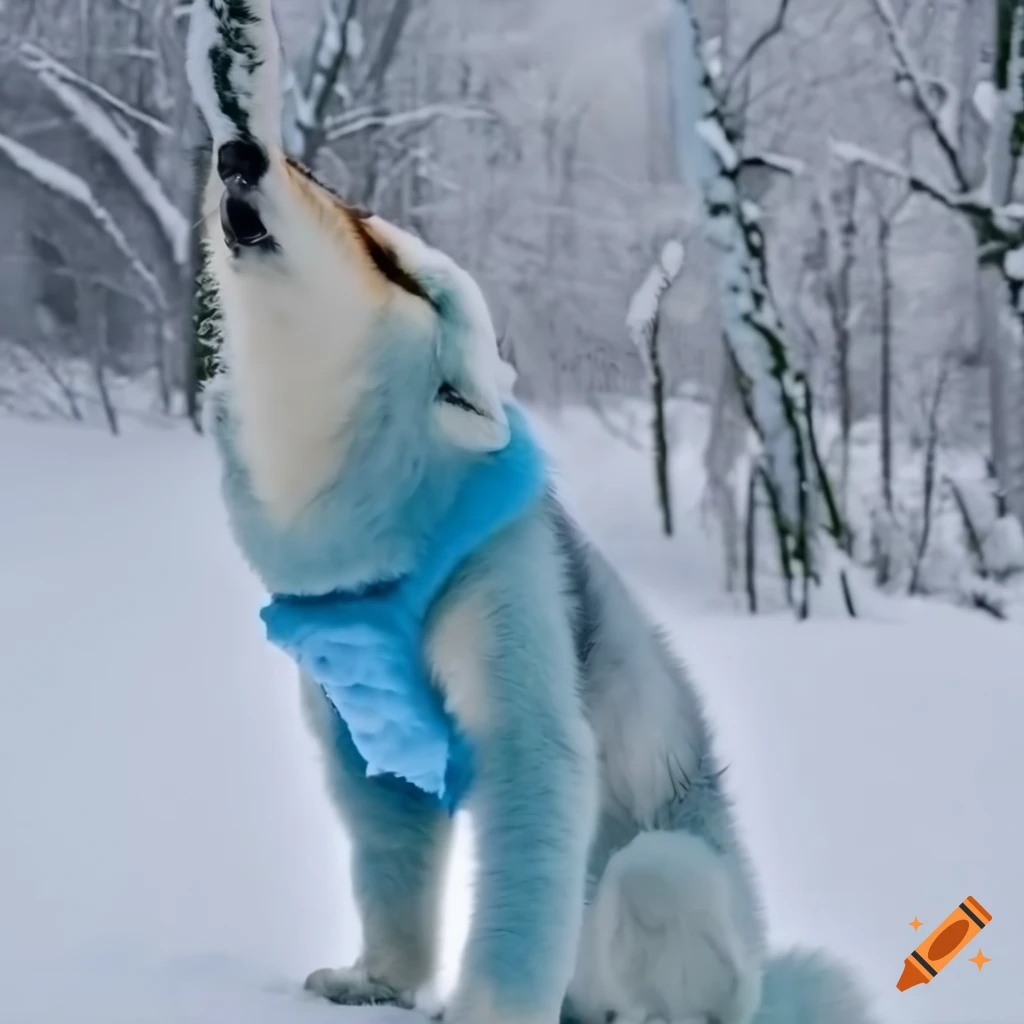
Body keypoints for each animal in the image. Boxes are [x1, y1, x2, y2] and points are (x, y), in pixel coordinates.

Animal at [186, 3, 875, 1024]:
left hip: (658, 872)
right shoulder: (362, 742)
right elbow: (394, 885)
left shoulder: (522, 694)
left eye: (382, 251)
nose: (239, 153)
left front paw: (482, 1010)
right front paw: (377, 983)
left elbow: (513, 906)